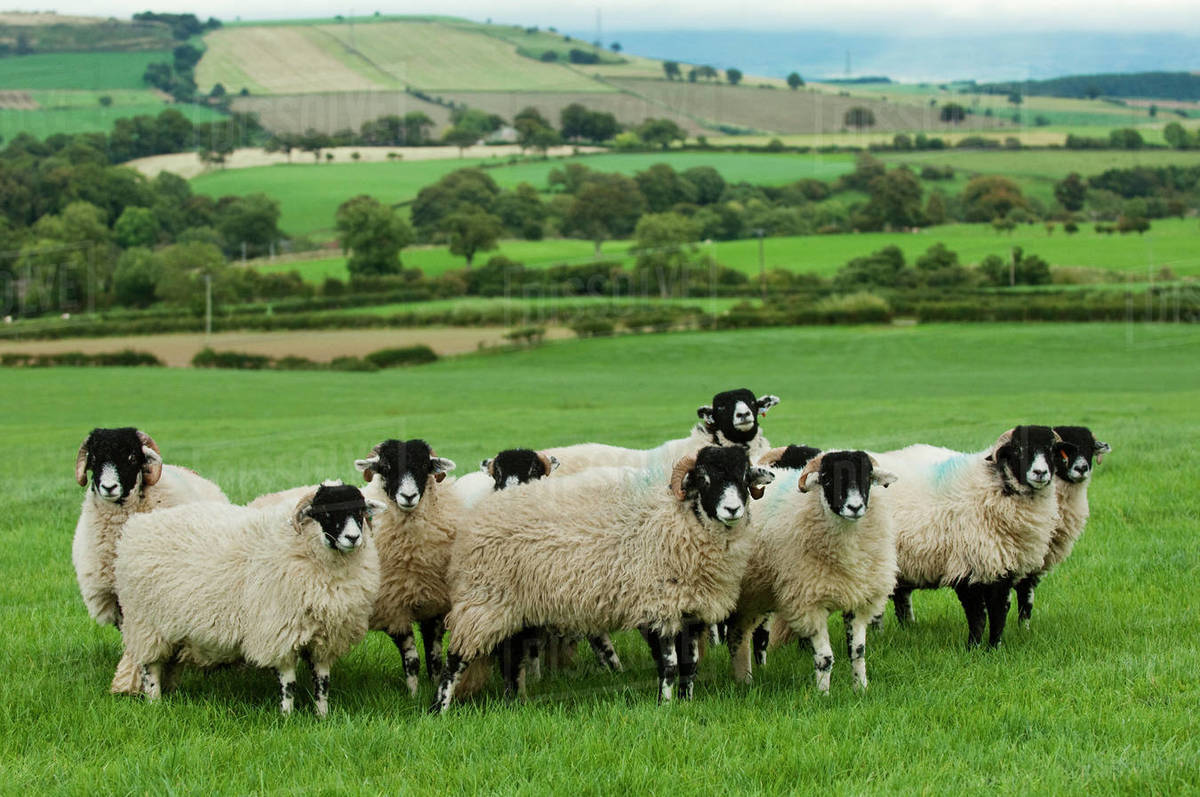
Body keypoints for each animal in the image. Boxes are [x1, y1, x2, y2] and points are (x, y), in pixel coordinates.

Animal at [114, 482, 383, 716]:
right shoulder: (278, 631)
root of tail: (136, 526)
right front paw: (287, 717)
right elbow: (288, 682)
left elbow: (323, 682)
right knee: (150, 668)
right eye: (325, 512)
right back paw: (155, 702)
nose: (353, 537)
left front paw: (322, 716)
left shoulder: (325, 638)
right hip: (146, 624)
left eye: (360, 511)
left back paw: (171, 694)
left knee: (169, 664)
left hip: (174, 628)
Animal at [432, 445, 774, 712]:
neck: (680, 517)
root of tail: (478, 515)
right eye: (703, 479)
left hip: (516, 608)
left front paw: (685, 702)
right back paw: (439, 709)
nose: (732, 509)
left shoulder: (690, 609)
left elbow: (689, 665)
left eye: (745, 478)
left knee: (512, 659)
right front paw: (665, 705)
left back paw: (514, 703)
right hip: (483, 600)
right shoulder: (659, 605)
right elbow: (670, 665)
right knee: (455, 658)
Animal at [726, 450, 898, 693]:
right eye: (827, 478)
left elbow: (858, 652)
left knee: (737, 636)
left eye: (867, 476)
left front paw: (861, 688)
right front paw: (823, 693)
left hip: (752, 597)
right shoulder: (809, 603)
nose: (855, 507)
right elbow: (825, 657)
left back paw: (745, 681)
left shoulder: (857, 599)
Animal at [874, 426, 1062, 648]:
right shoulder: (967, 565)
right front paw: (974, 647)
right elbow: (978, 614)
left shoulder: (1001, 567)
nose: (1040, 473)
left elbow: (999, 611)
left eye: (1051, 449)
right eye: (1018, 448)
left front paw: (994, 647)